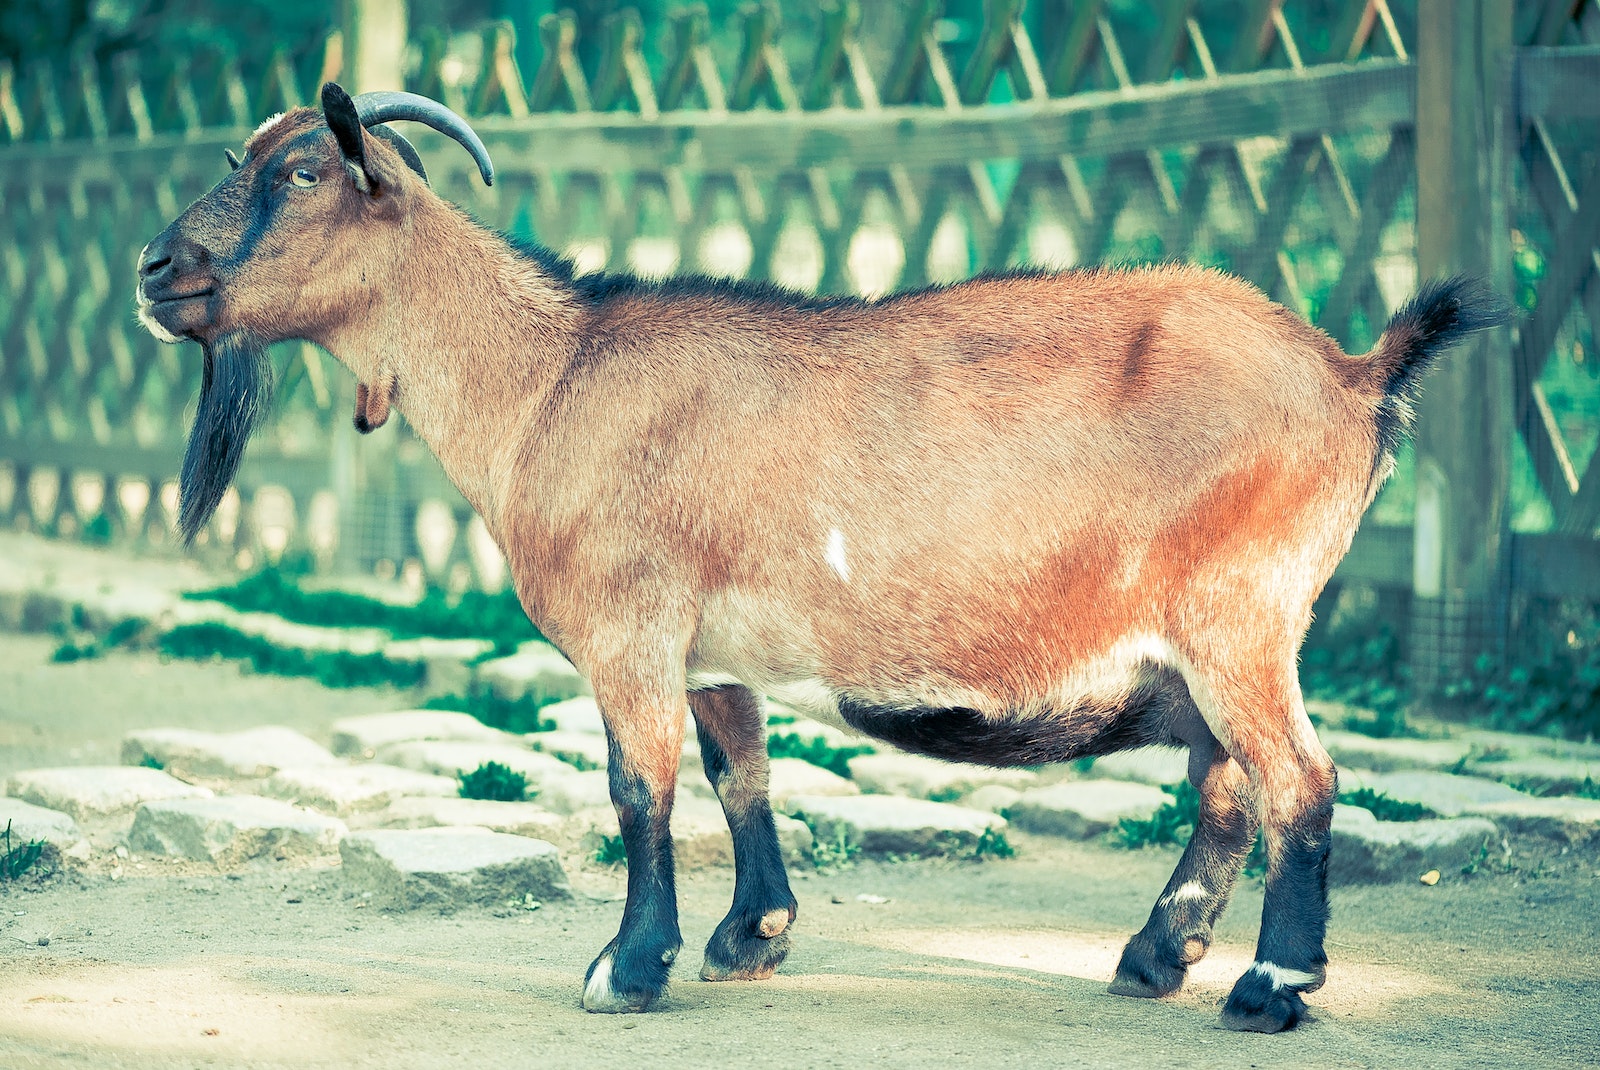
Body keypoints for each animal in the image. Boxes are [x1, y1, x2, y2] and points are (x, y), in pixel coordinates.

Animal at [135, 82, 1507, 1032]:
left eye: (301, 168)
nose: (156, 267)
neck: (547, 378)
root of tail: (1353, 373)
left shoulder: (629, 627)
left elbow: (640, 788)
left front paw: (625, 966)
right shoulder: (709, 645)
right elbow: (740, 773)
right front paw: (751, 936)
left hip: (1242, 609)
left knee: (1299, 781)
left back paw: (1270, 984)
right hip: (1213, 633)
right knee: (1225, 781)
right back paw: (1151, 956)